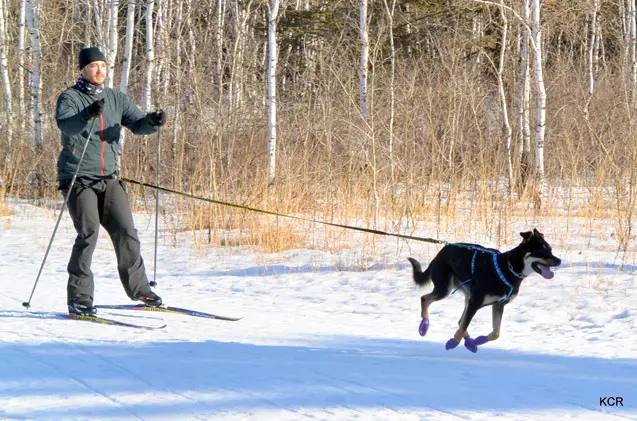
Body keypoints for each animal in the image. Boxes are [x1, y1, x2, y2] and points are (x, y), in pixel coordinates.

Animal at [408, 230, 560, 352]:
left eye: (550, 249)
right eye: (540, 251)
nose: (559, 261)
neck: (508, 268)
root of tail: (441, 251)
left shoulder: (498, 304)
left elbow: (496, 333)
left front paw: (479, 340)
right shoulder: (475, 303)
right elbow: (464, 326)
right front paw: (452, 342)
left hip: (466, 296)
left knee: (460, 320)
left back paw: (470, 343)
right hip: (445, 289)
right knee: (425, 299)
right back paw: (424, 326)